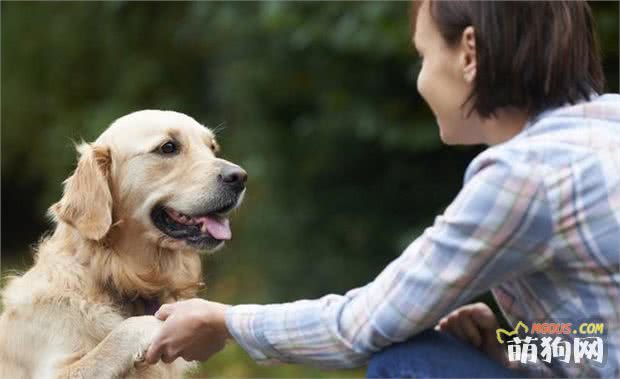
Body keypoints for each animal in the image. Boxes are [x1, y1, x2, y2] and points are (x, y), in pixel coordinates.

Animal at [0, 109, 247, 378]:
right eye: (168, 147)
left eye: (212, 148)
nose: (240, 177)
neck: (117, 275)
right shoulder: (52, 369)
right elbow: (124, 330)